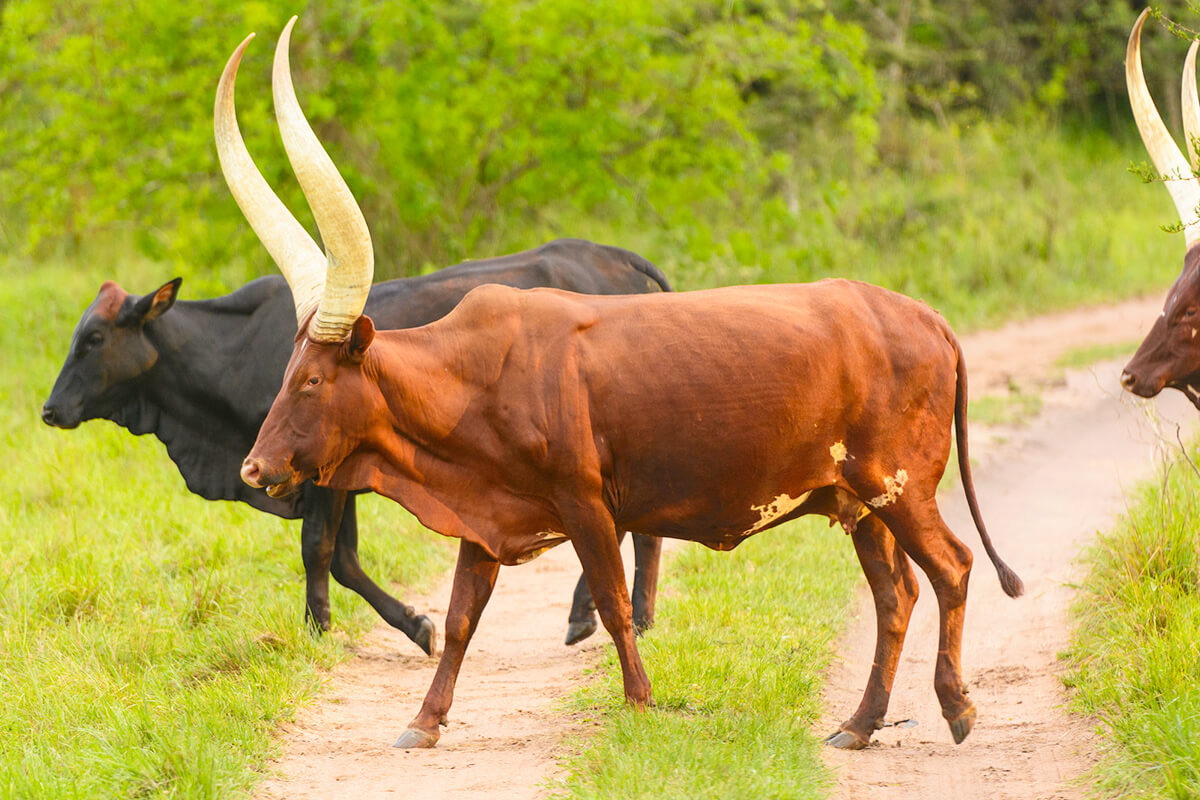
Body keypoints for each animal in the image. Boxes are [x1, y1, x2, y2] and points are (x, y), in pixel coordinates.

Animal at [233, 19, 1024, 750]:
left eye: (311, 380)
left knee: (952, 570)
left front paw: (641, 704)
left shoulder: (587, 504)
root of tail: (924, 316)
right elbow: (460, 621)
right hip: (861, 503)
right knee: (898, 597)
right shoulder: (484, 518)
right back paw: (859, 724)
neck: (474, 377)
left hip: (899, 487)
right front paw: (424, 722)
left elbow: (613, 603)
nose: (254, 468)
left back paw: (955, 709)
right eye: (285, 373)